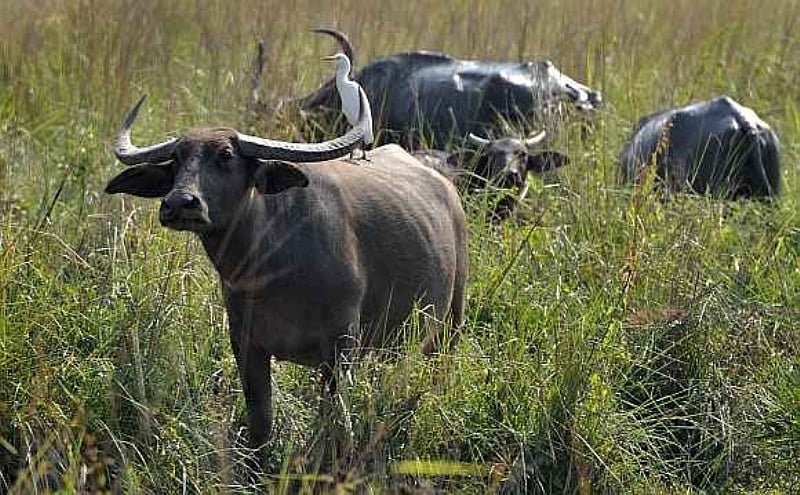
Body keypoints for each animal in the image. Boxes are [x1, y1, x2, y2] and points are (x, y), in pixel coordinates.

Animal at [105, 96, 468, 459]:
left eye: (225, 155)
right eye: (177, 158)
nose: (179, 203)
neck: (270, 271)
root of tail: (449, 191)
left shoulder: (341, 343)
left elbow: (338, 423)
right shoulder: (245, 343)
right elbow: (261, 421)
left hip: (451, 321)